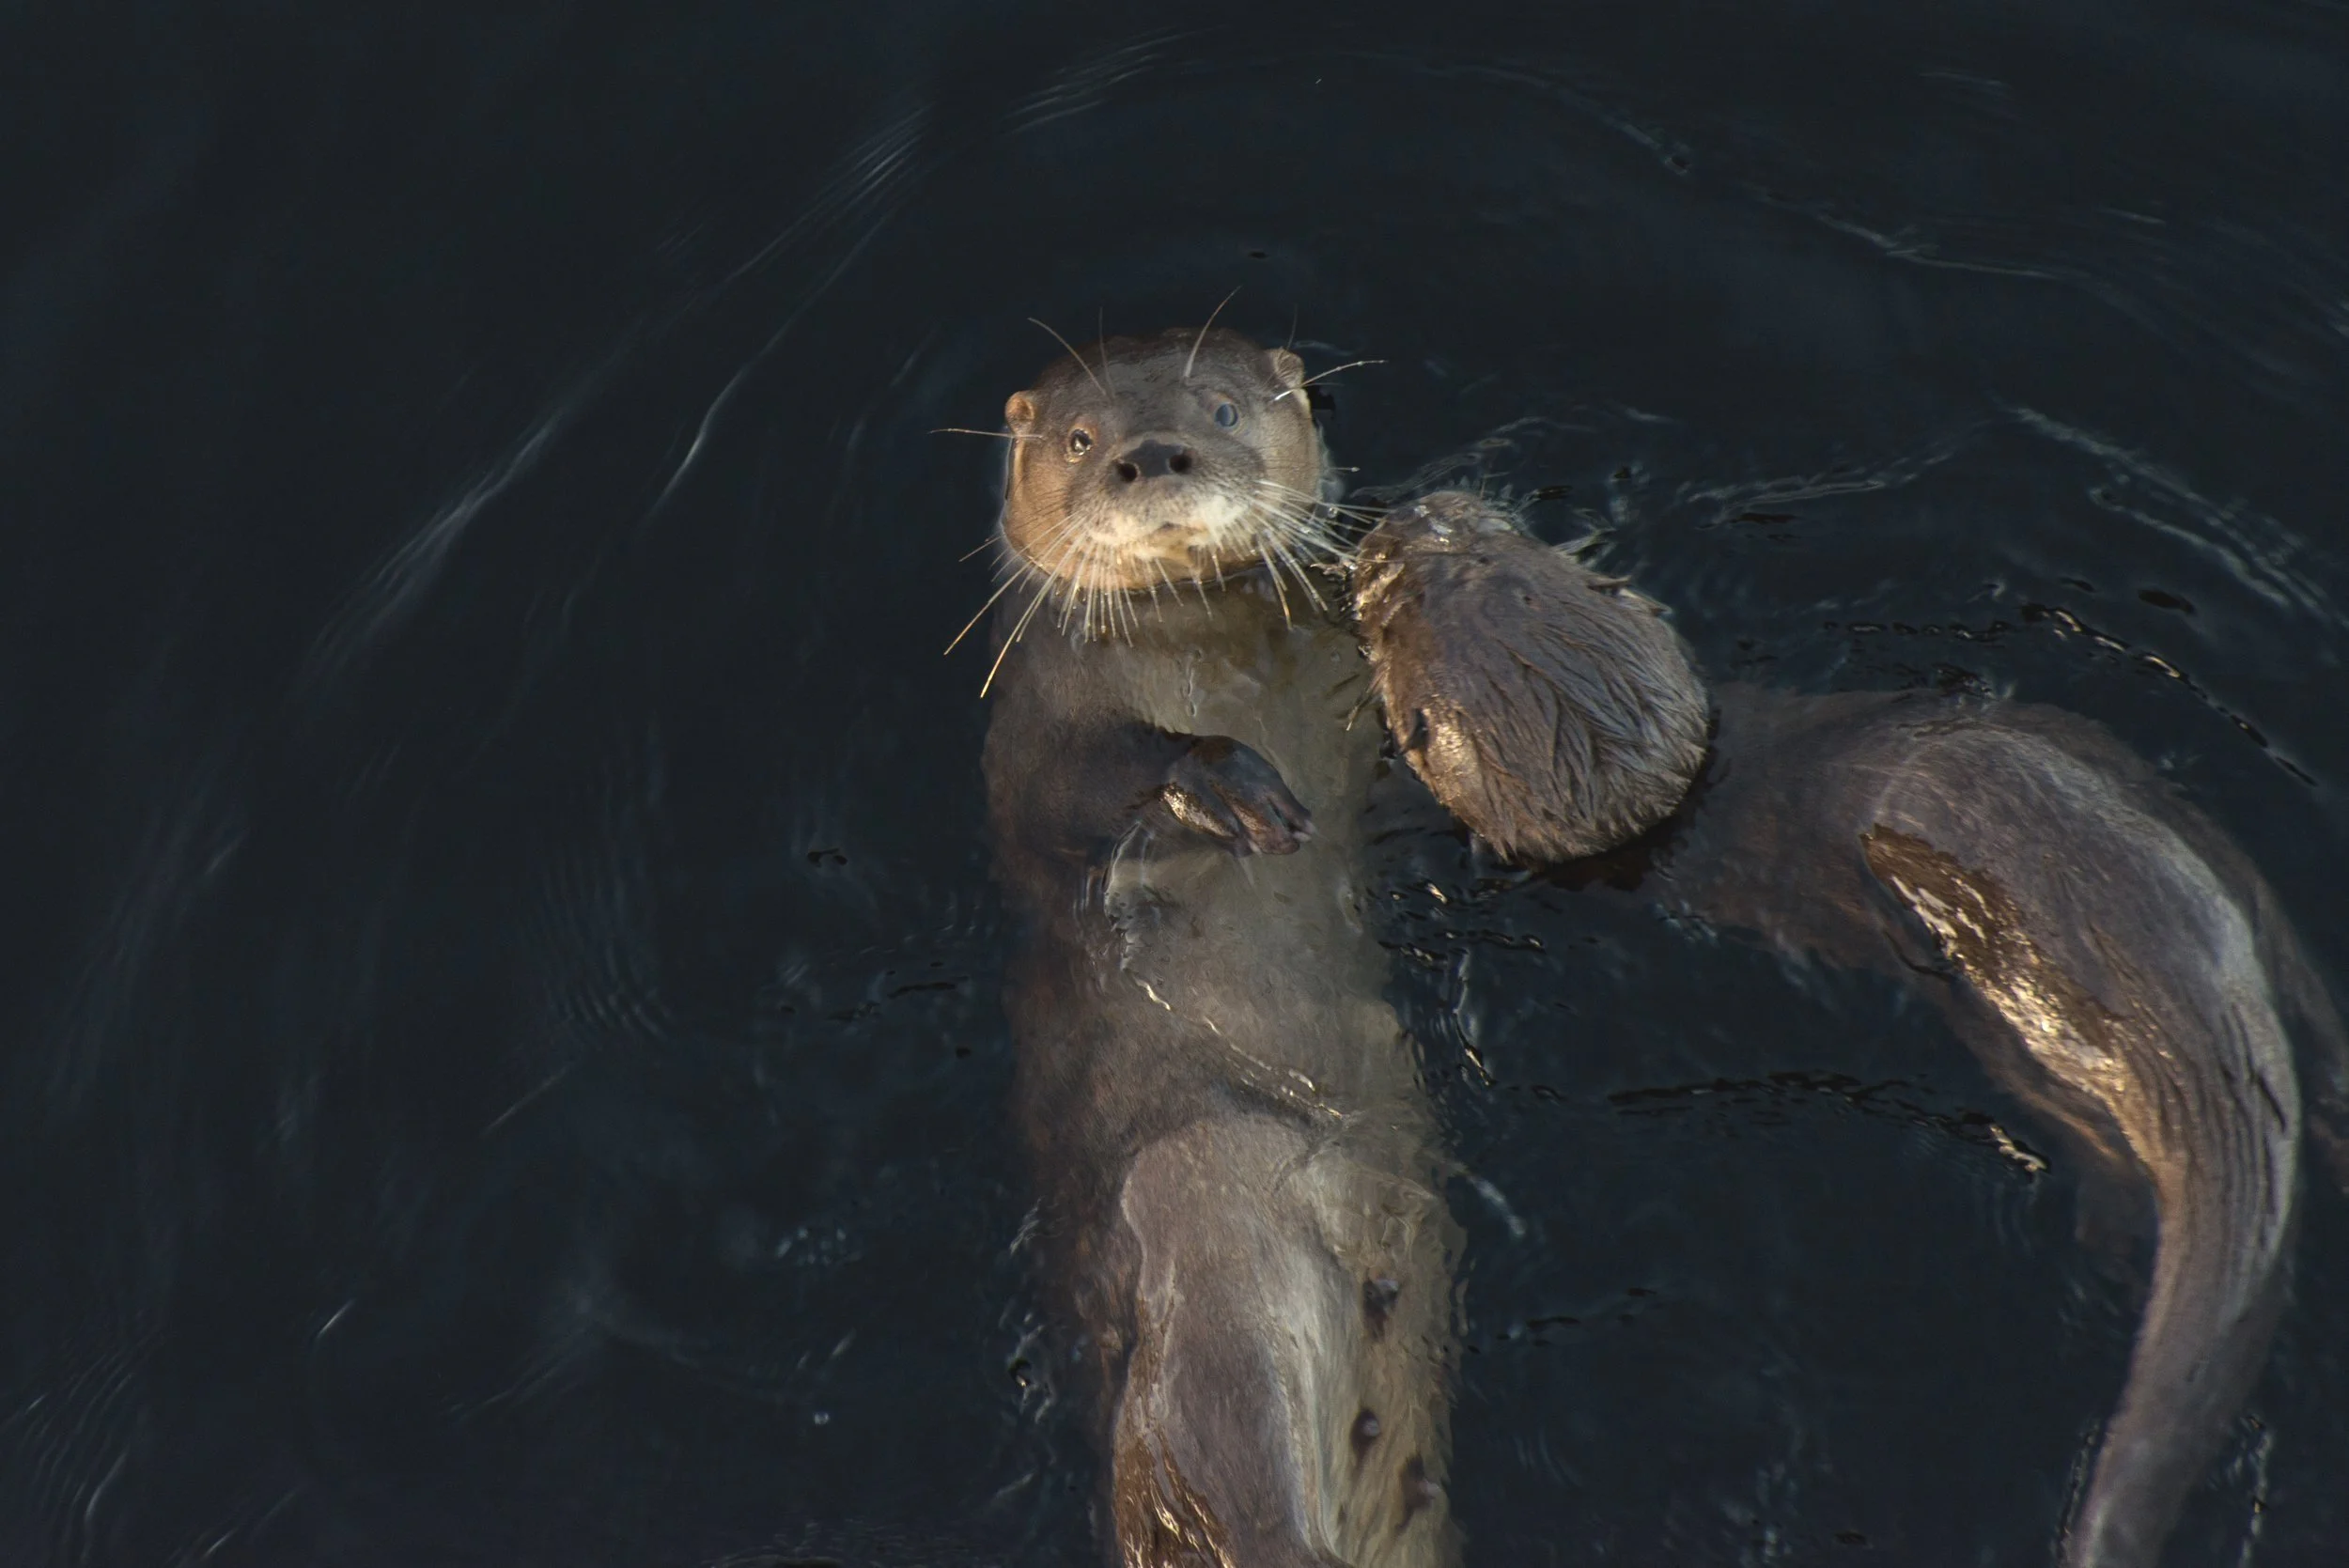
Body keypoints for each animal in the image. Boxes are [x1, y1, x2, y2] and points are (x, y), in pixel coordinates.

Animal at [981, 328, 1460, 1566]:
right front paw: (1222, 781)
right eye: (1081, 439)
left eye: (1223, 409)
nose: (1153, 454)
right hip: (1206, 1241)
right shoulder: (1030, 728)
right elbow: (1065, 796)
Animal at [1352, 492, 2349, 1568]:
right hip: (2246, 896)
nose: (1405, 518)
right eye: (1475, 546)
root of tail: (2205, 1055)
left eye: (1404, 593)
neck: (1690, 794)